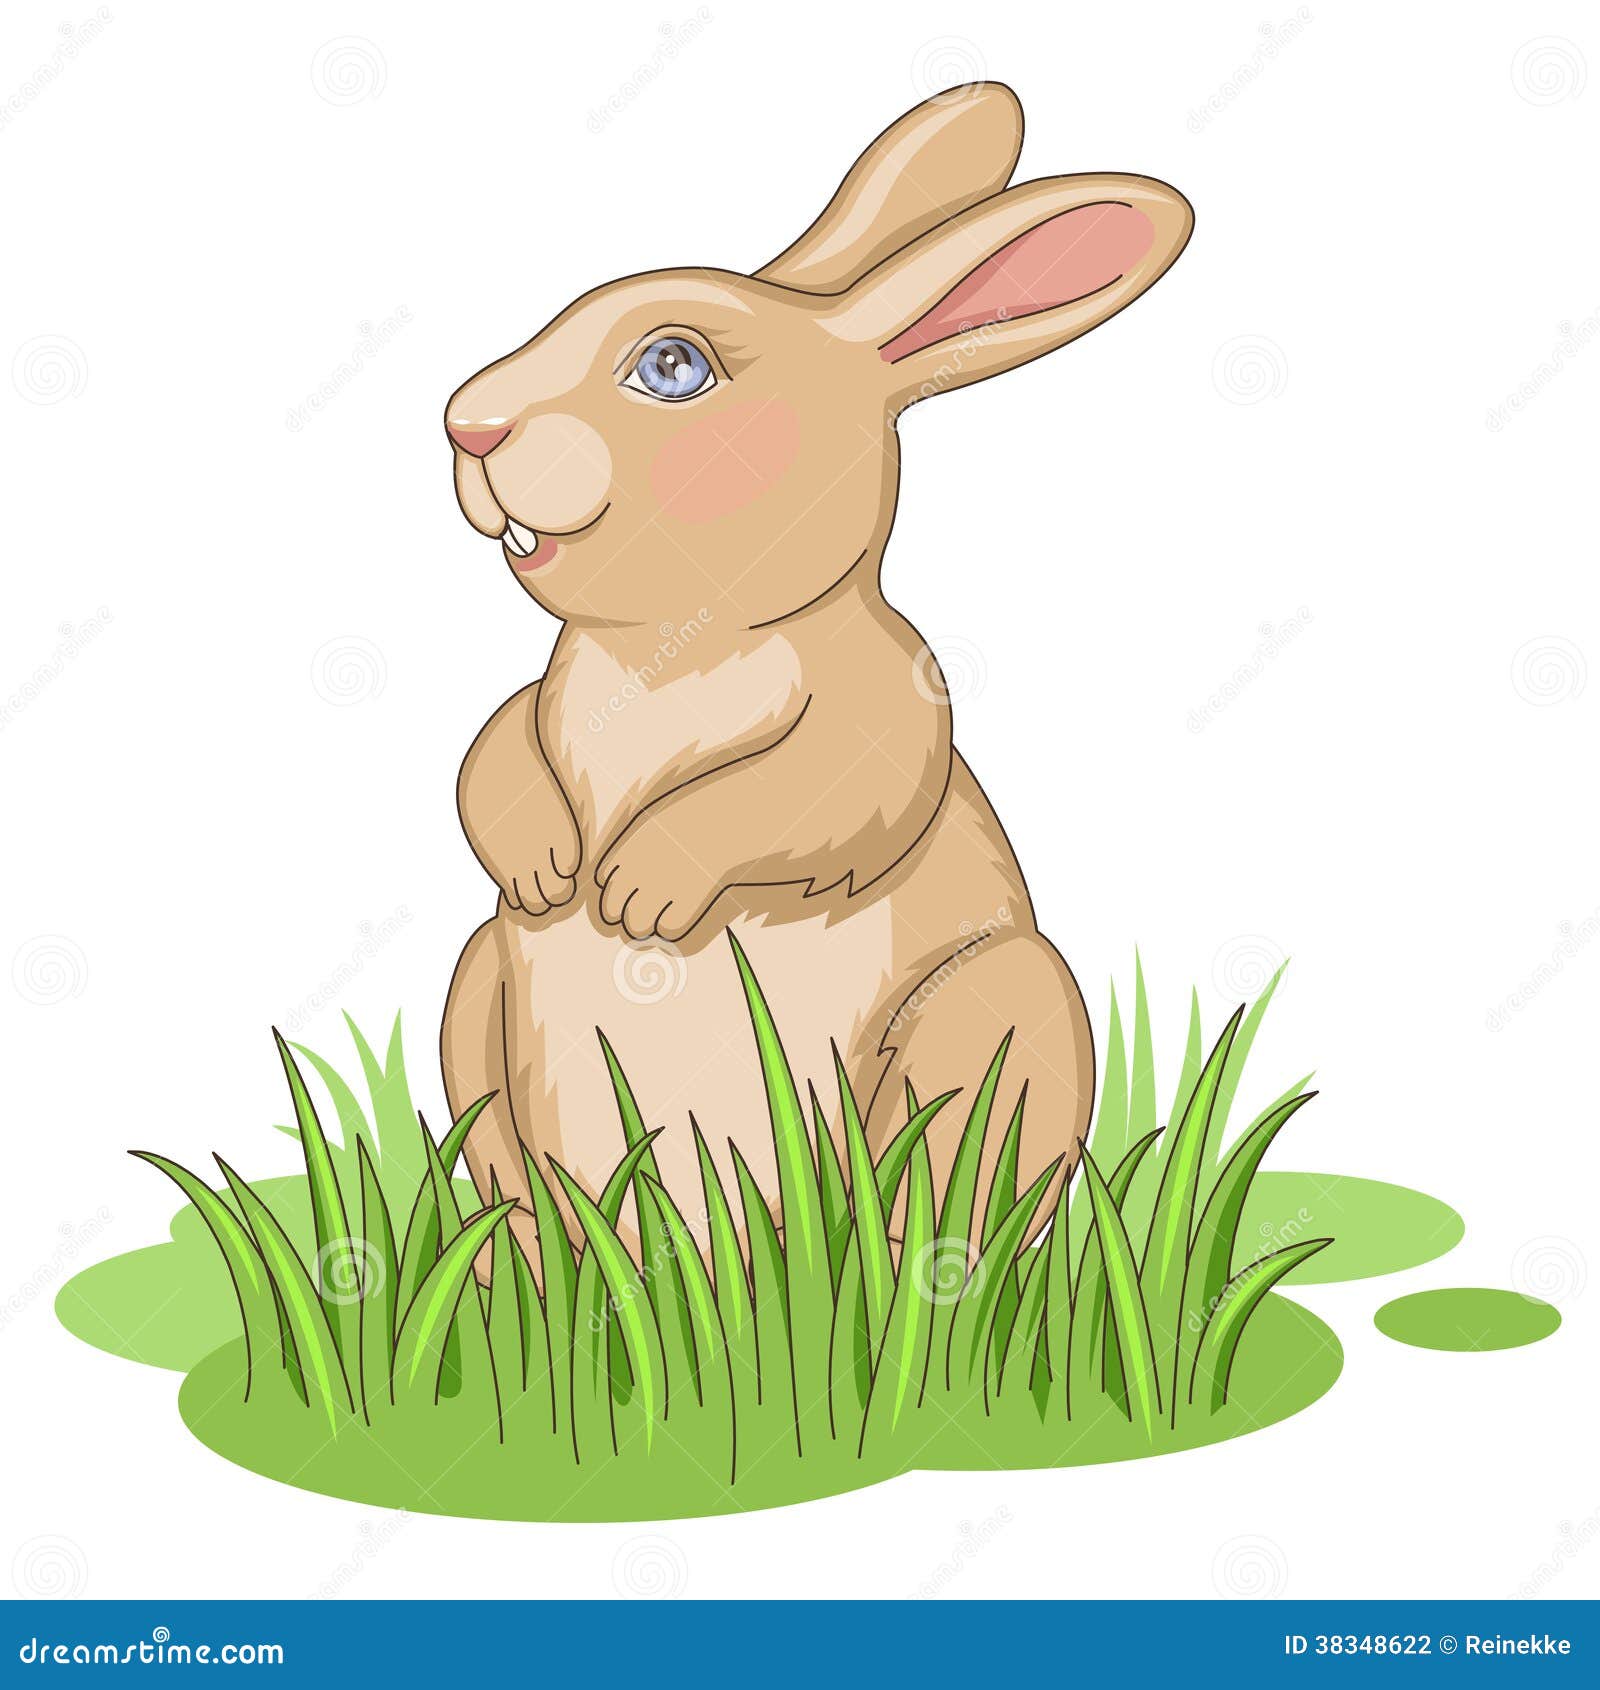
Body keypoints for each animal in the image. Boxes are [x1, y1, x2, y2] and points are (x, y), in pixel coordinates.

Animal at [439, 83, 1192, 1260]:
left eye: (671, 368)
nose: (466, 424)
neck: (679, 645)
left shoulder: (884, 714)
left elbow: (816, 795)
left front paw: (639, 890)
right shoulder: (543, 696)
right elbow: (496, 748)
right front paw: (548, 865)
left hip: (1000, 1011)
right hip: (477, 999)